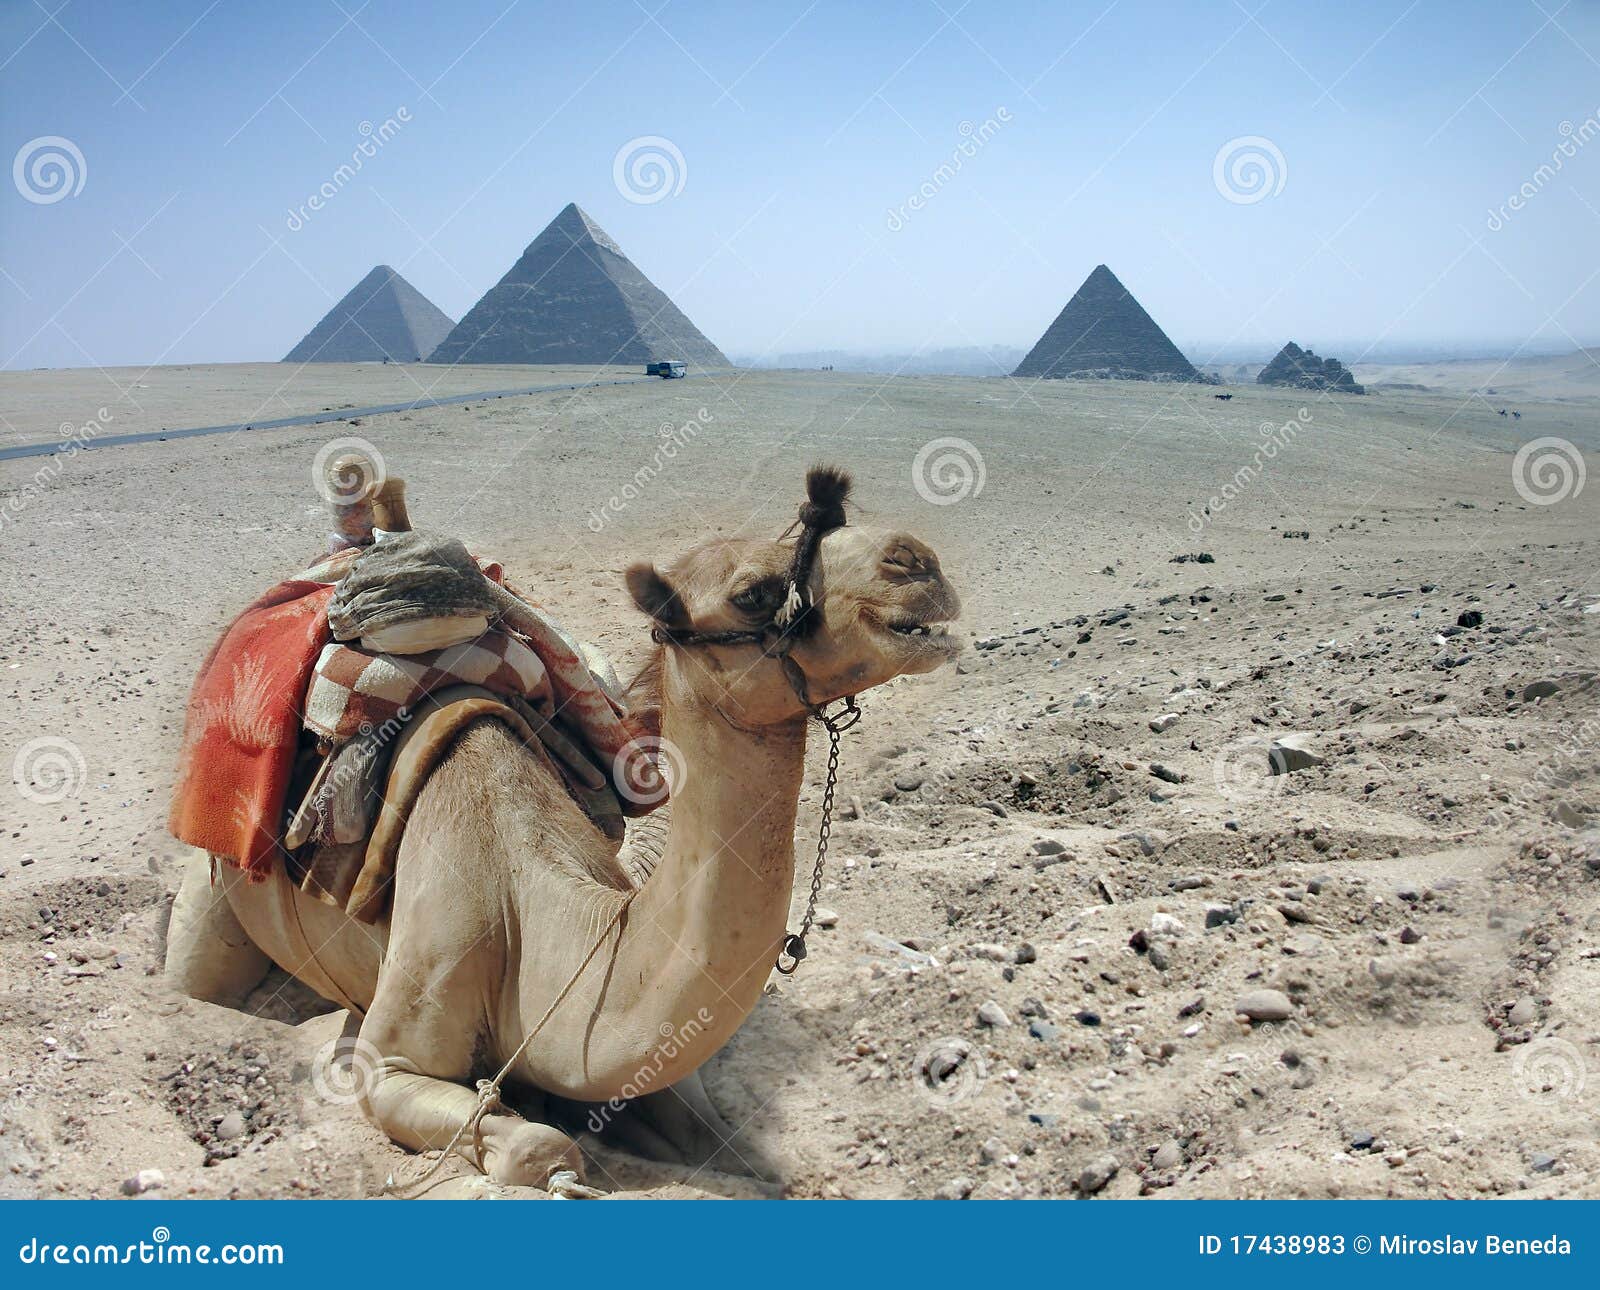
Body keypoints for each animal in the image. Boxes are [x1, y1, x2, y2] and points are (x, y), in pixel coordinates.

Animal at [165, 467, 961, 1193]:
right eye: (752, 592)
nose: (916, 560)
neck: (536, 915)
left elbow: (729, 1150)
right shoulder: (389, 1059)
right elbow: (536, 1146)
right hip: (212, 887)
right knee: (194, 977)